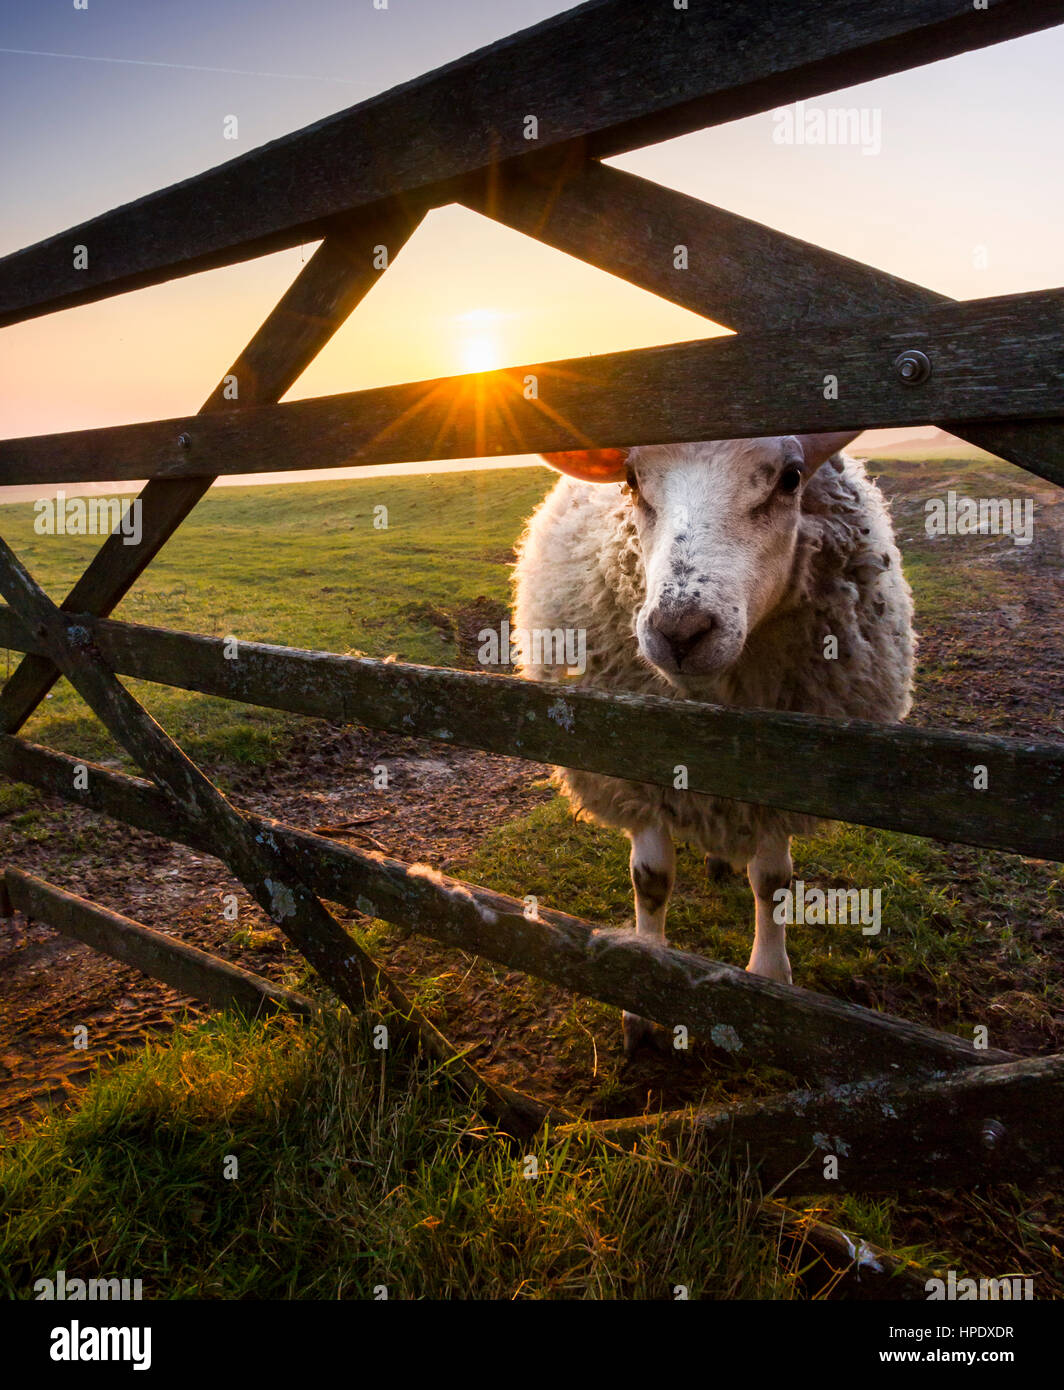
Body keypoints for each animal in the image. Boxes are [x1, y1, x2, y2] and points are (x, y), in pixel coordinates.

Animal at [511, 433, 916, 1055]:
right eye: (631, 480)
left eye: (791, 478)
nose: (679, 631)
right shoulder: (637, 775)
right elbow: (651, 880)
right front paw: (641, 991)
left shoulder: (781, 782)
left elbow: (772, 883)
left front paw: (769, 976)